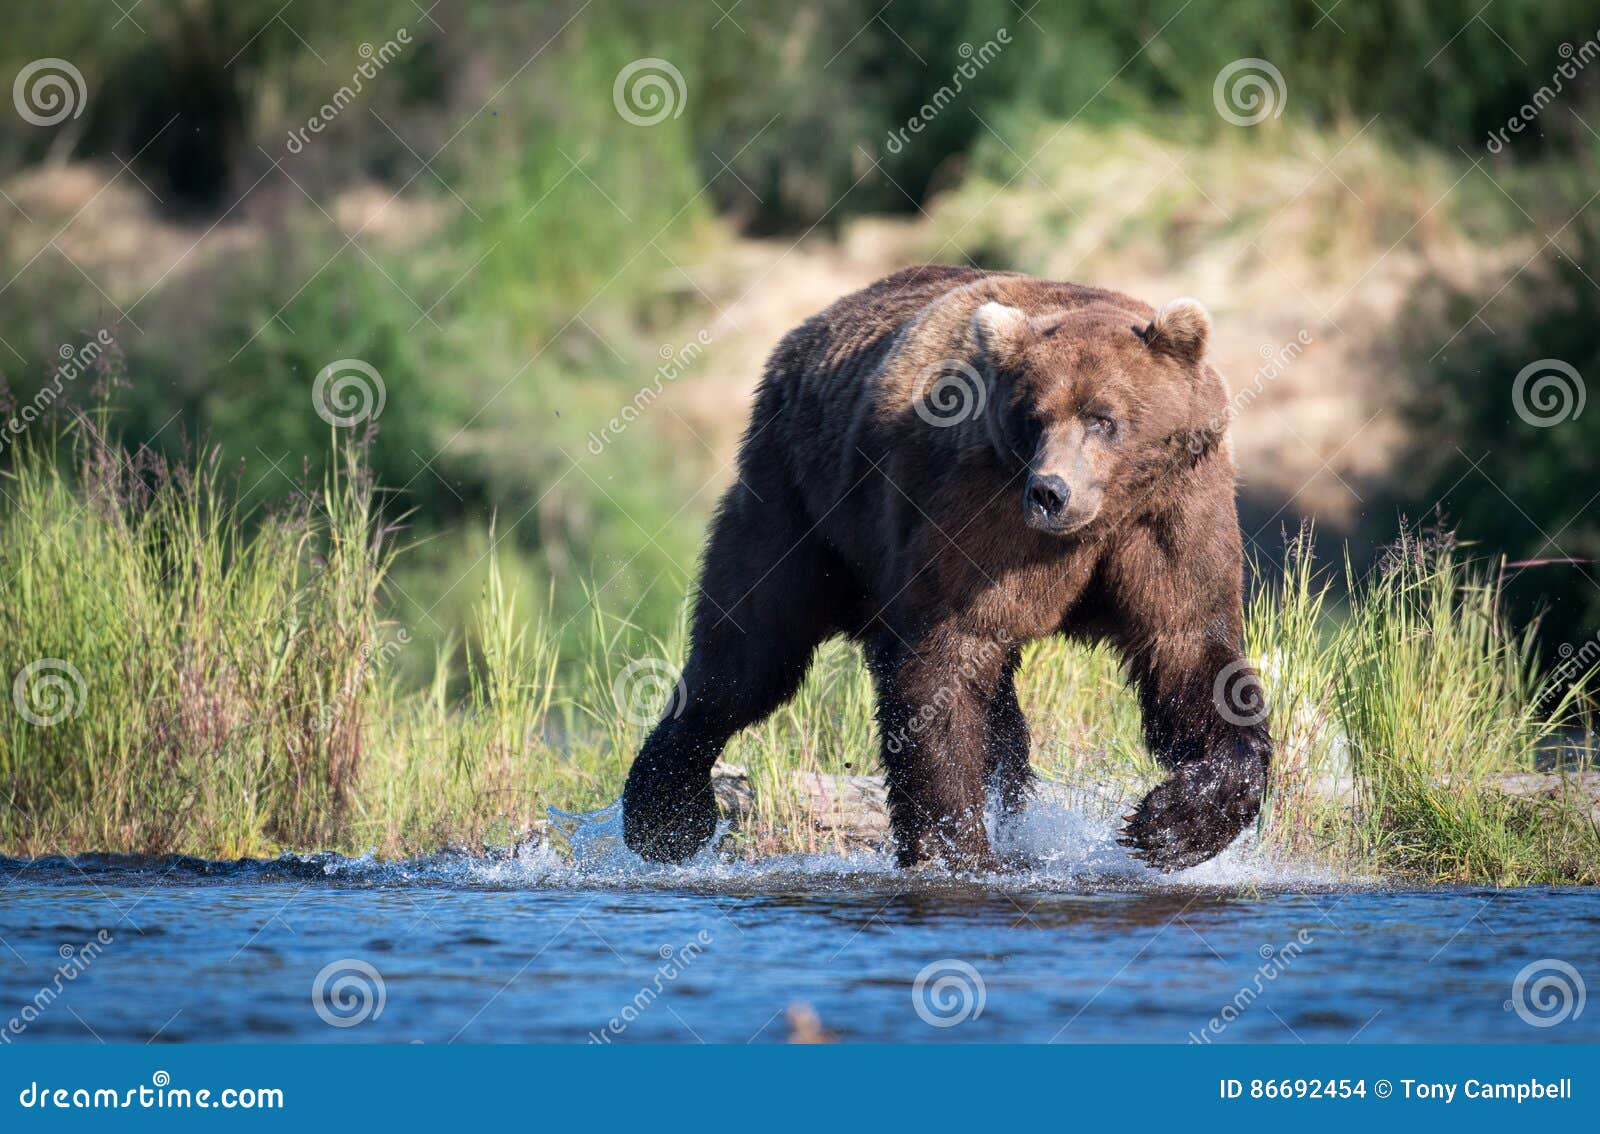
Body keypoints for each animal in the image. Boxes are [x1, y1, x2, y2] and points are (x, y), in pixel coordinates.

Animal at [621, 265, 1271, 872]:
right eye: (1035, 418)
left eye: (1102, 418)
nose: (1050, 492)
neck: (1099, 522)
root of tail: (805, 332)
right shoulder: (981, 512)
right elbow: (945, 661)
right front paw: (957, 850)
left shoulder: (1172, 515)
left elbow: (1190, 652)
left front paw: (1169, 825)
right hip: (802, 499)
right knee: (749, 650)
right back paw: (664, 816)